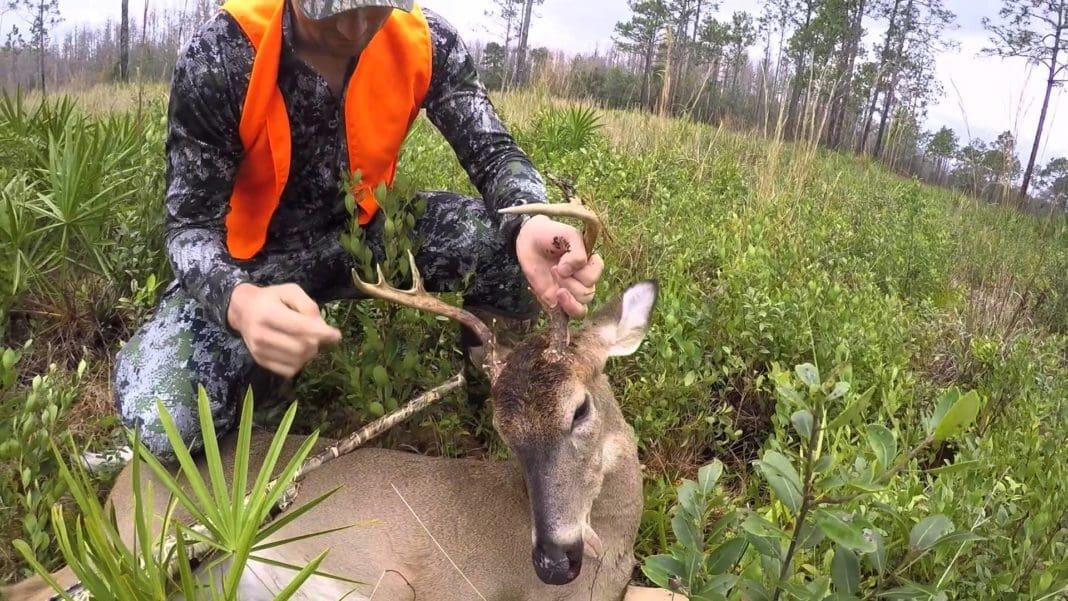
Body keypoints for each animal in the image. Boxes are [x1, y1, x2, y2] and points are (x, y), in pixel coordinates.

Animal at [3, 198, 685, 601]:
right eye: (504, 431)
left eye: (580, 409)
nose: (553, 560)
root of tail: (129, 476)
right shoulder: (404, 577)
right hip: (135, 540)